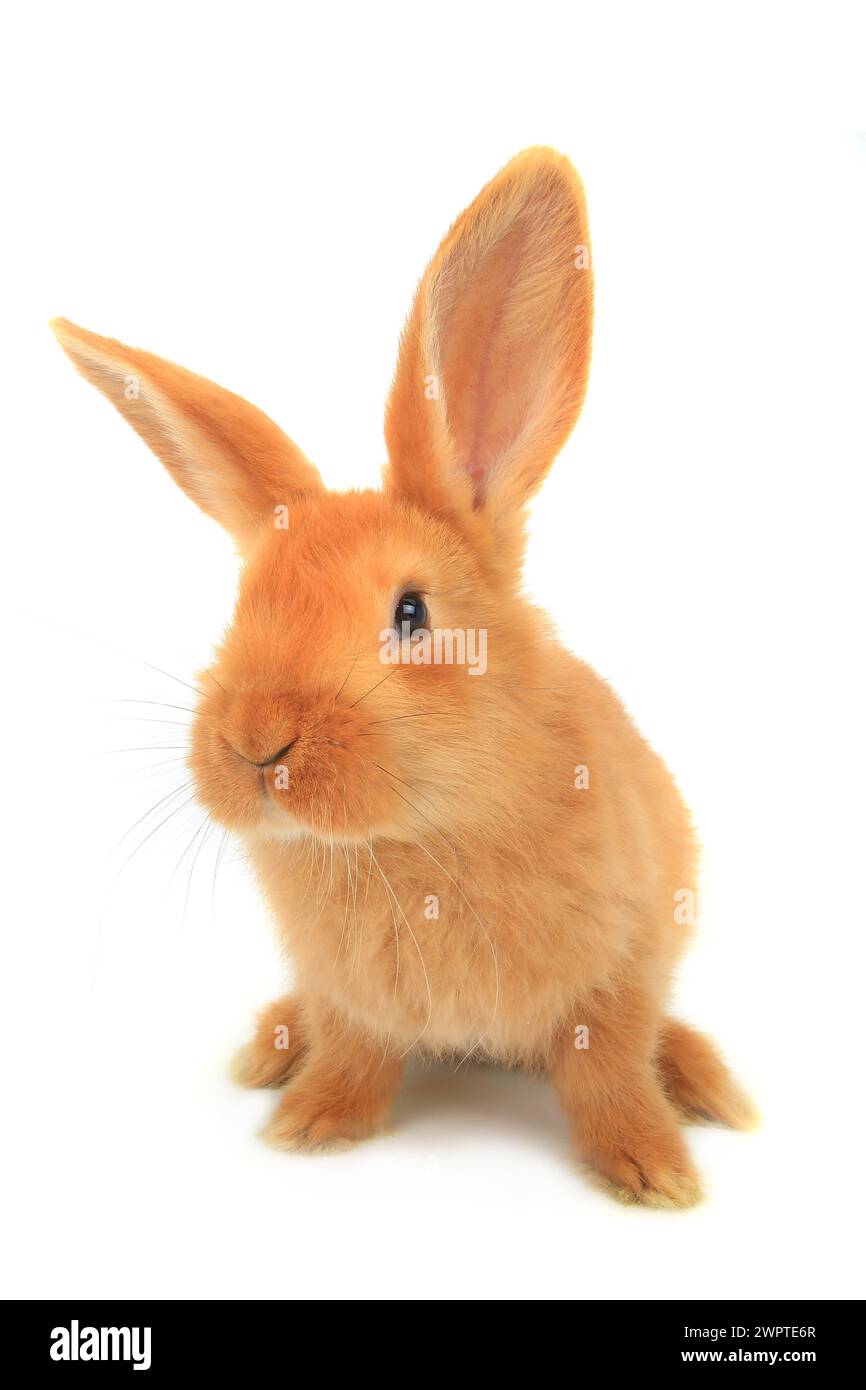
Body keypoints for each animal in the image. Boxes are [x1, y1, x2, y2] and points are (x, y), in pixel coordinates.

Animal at [51, 146, 754, 1207]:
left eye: (412, 613)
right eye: (243, 602)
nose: (255, 741)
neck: (412, 840)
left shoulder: (622, 972)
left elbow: (610, 1071)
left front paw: (652, 1169)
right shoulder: (348, 996)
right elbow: (352, 1053)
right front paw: (310, 1126)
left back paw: (706, 1083)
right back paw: (270, 1050)